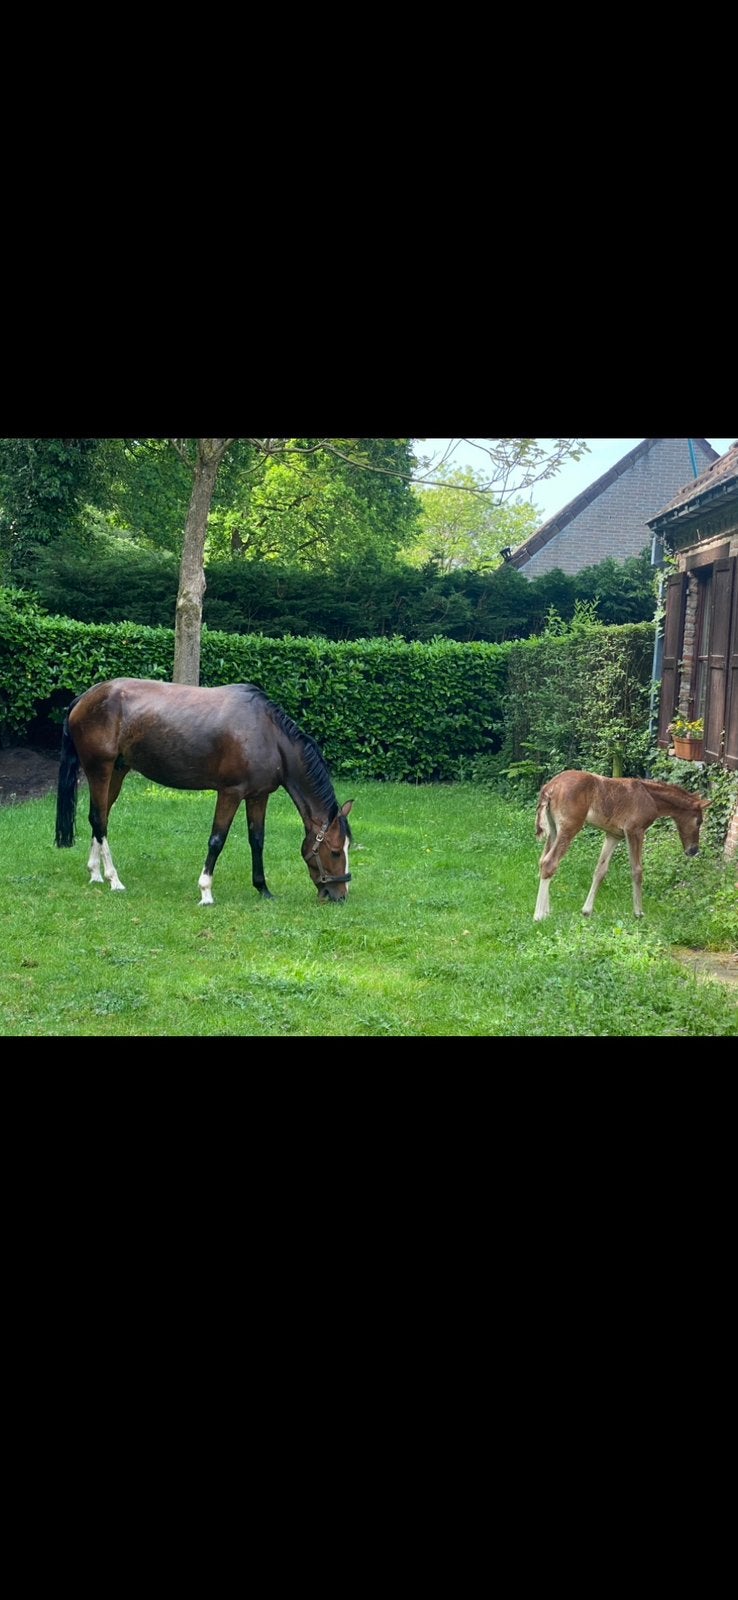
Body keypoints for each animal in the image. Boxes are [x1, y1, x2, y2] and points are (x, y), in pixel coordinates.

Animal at [55, 678, 354, 905]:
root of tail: (85, 698)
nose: (339, 895)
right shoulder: (230, 793)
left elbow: (257, 840)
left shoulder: (258, 796)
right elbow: (217, 840)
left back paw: (96, 873)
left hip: (117, 771)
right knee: (99, 819)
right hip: (100, 770)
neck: (268, 736)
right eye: (335, 852)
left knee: (100, 817)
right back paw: (114, 879)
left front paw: (263, 889)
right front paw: (206, 891)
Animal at [533, 769, 709, 922]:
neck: (651, 797)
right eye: (699, 821)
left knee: (543, 860)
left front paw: (586, 911)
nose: (693, 850)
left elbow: (600, 870)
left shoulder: (613, 835)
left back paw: (547, 912)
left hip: (553, 829)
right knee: (550, 862)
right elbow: (637, 870)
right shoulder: (634, 831)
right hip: (569, 827)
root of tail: (550, 787)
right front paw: (638, 913)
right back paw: (539, 915)